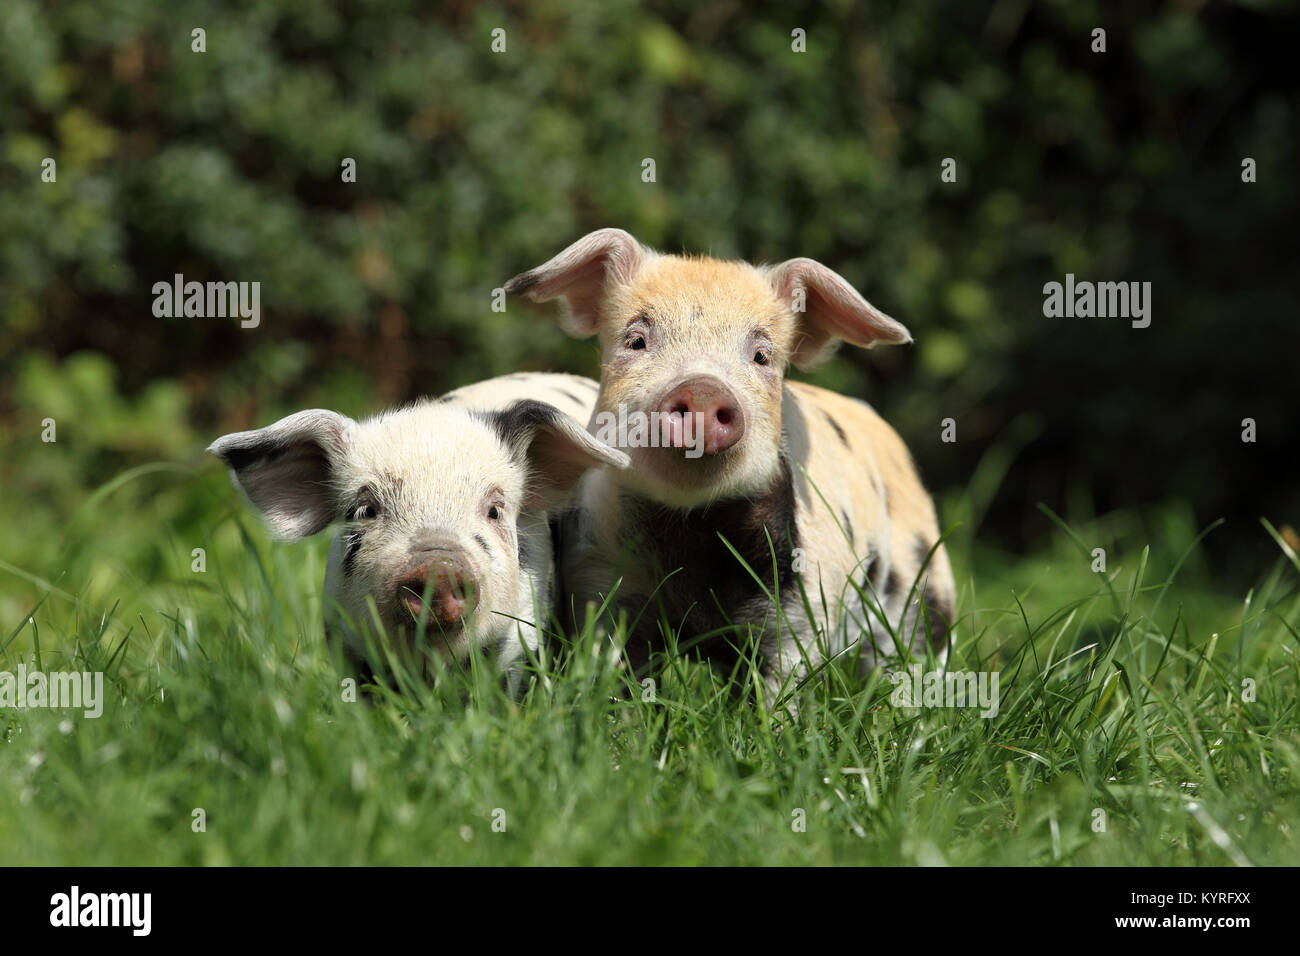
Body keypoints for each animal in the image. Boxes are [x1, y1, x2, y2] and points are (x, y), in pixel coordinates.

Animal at [505, 229, 956, 703]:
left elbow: (784, 684)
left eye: (761, 356)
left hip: (924, 582)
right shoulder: (599, 577)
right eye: (637, 341)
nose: (703, 389)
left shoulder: (802, 610)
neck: (693, 537)